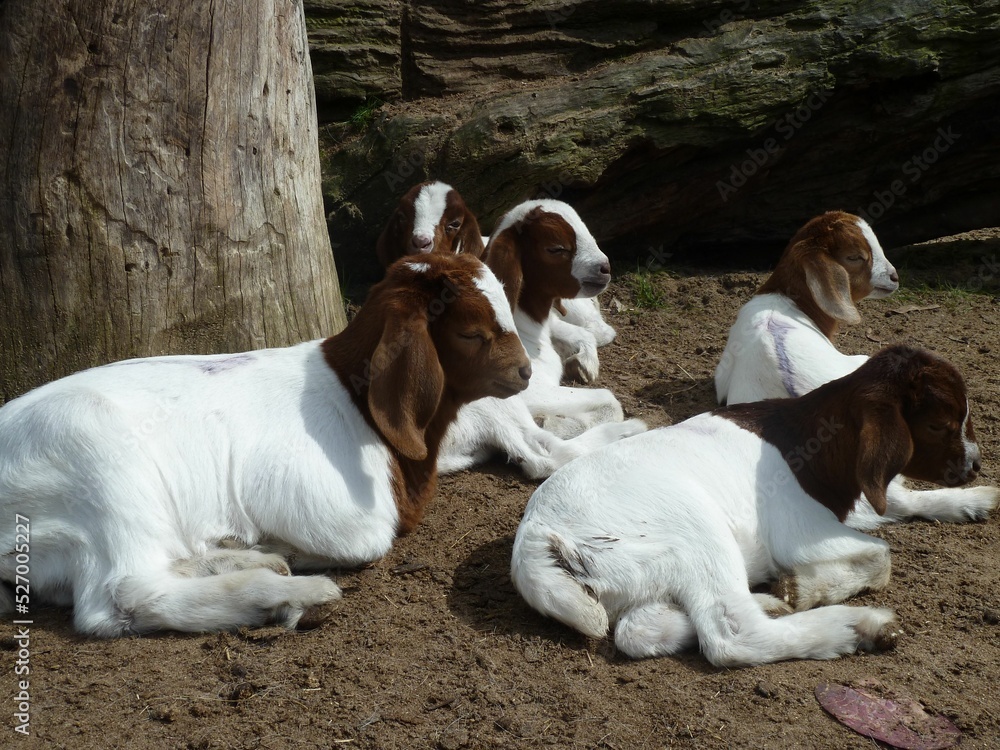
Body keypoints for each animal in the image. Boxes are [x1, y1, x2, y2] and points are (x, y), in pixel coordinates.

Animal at [0, 253, 530, 637]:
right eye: (471, 332)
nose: (525, 372)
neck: (352, 397)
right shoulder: (328, 508)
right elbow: (368, 541)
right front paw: (282, 553)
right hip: (102, 471)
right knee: (125, 594)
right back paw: (292, 594)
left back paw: (242, 559)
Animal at [437, 199, 645, 478]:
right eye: (556, 248)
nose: (605, 269)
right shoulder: (526, 388)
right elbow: (608, 400)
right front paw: (557, 422)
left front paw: (582, 366)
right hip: (488, 399)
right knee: (545, 457)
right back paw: (628, 432)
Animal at [512, 346, 985, 667]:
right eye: (939, 424)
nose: (975, 465)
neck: (807, 442)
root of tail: (537, 540)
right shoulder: (804, 530)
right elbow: (881, 555)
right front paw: (804, 588)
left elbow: (898, 500)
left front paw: (973, 501)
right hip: (693, 529)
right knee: (731, 635)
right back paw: (861, 626)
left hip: (640, 575)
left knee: (639, 630)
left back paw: (769, 605)